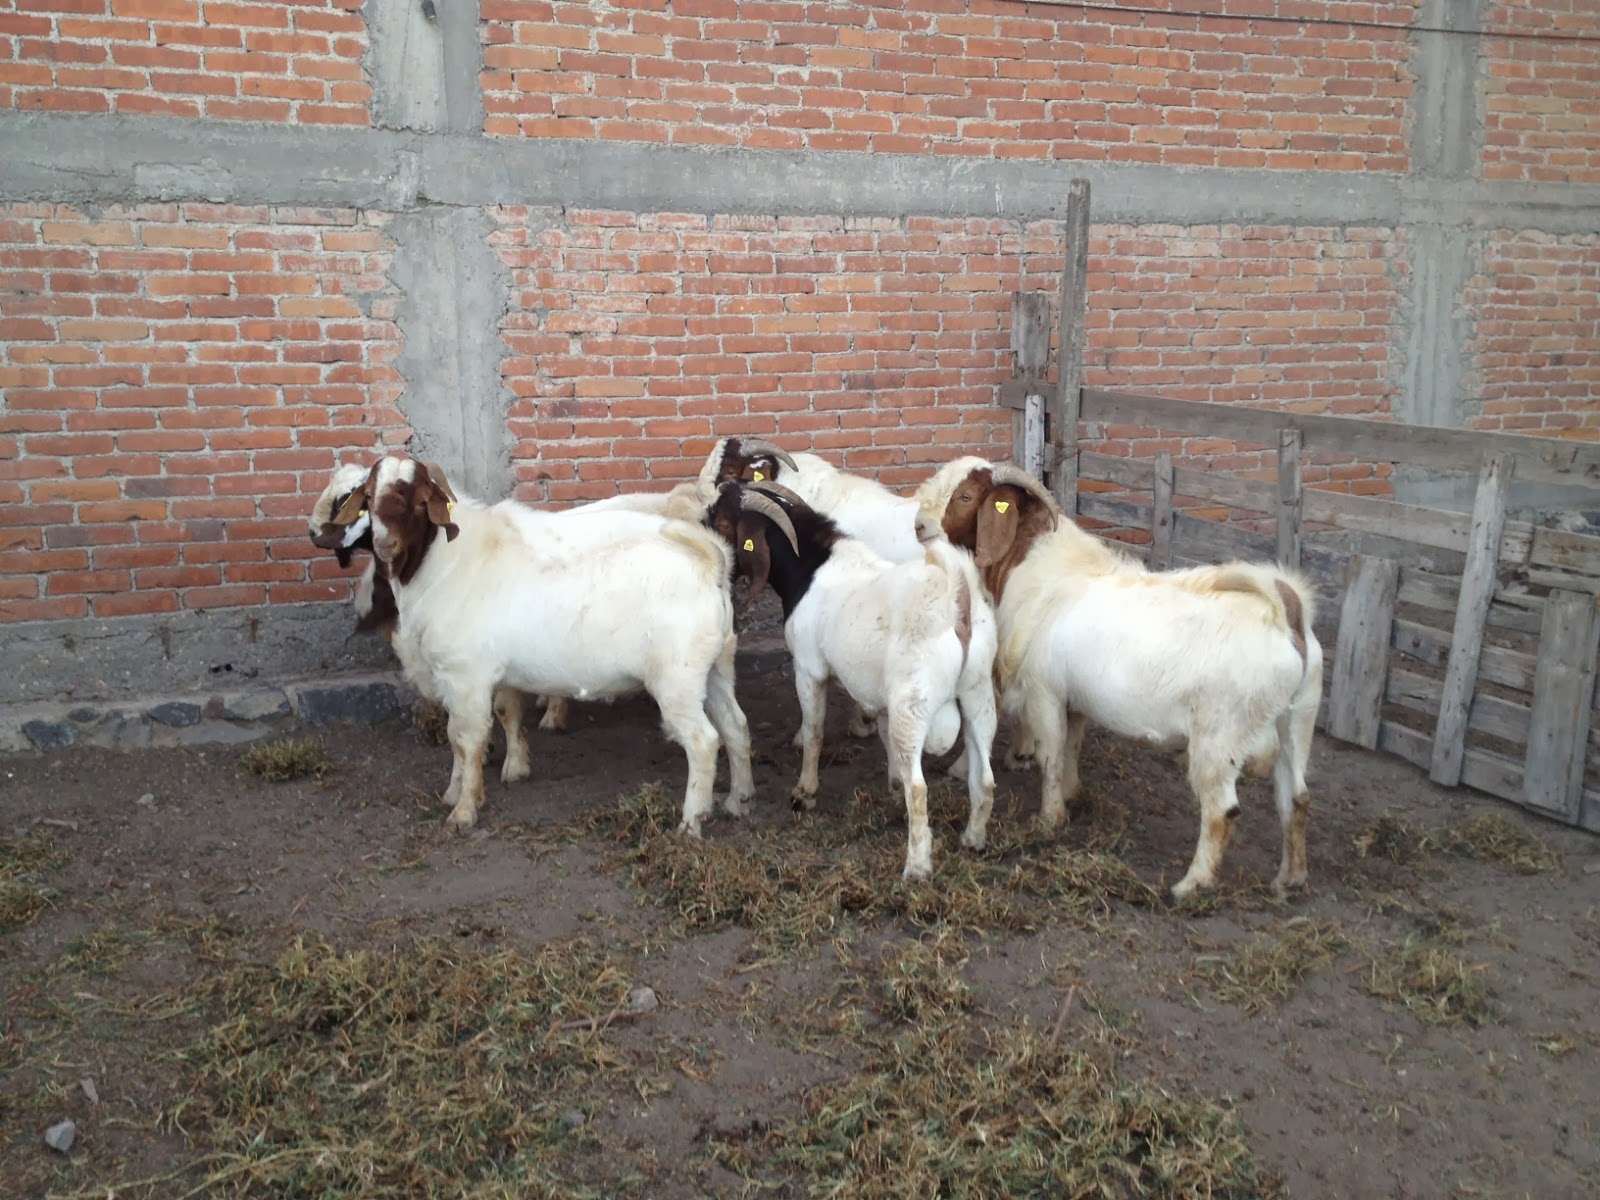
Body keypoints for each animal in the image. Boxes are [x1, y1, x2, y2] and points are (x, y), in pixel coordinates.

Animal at [320, 454, 755, 834]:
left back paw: (691, 823)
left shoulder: (467, 676)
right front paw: (455, 793)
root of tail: (710, 561)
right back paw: (738, 801)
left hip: (677, 680)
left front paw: (464, 811)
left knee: (703, 741)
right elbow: (458, 738)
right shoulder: (457, 680)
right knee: (736, 726)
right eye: (369, 496)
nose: (385, 544)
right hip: (715, 668)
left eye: (420, 499)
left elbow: (468, 740)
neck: (449, 564)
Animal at [707, 480, 998, 880]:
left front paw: (804, 792)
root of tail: (958, 604)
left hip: (913, 701)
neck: (810, 569)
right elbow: (881, 732)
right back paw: (973, 839)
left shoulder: (809, 667)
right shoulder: (881, 694)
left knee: (920, 788)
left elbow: (813, 731)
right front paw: (892, 782)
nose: (701, 536)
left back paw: (916, 867)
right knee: (984, 777)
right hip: (977, 693)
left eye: (724, 521)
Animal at [917, 457, 1323, 900]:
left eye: (965, 496)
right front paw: (1072, 795)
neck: (1044, 572)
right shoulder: (1074, 698)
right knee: (1297, 798)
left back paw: (1189, 885)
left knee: (1222, 811)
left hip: (1220, 737)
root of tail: (1287, 618)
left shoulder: (1045, 692)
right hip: (1297, 720)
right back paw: (1290, 877)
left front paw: (1049, 819)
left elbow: (1050, 754)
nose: (919, 525)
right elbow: (1073, 745)